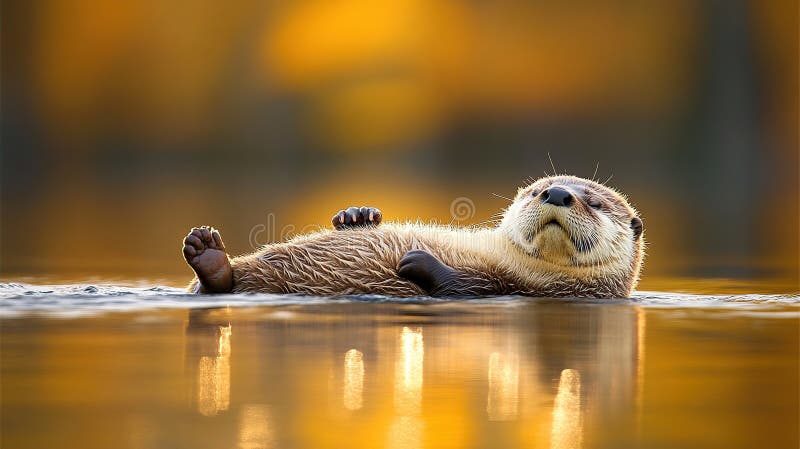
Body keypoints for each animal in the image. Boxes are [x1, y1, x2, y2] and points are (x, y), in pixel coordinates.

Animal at [182, 175, 644, 298]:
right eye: (537, 190)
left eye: (595, 203)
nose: (558, 192)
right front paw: (357, 215)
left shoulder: (522, 289)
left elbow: (464, 285)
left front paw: (418, 260)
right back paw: (205, 249)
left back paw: (210, 260)